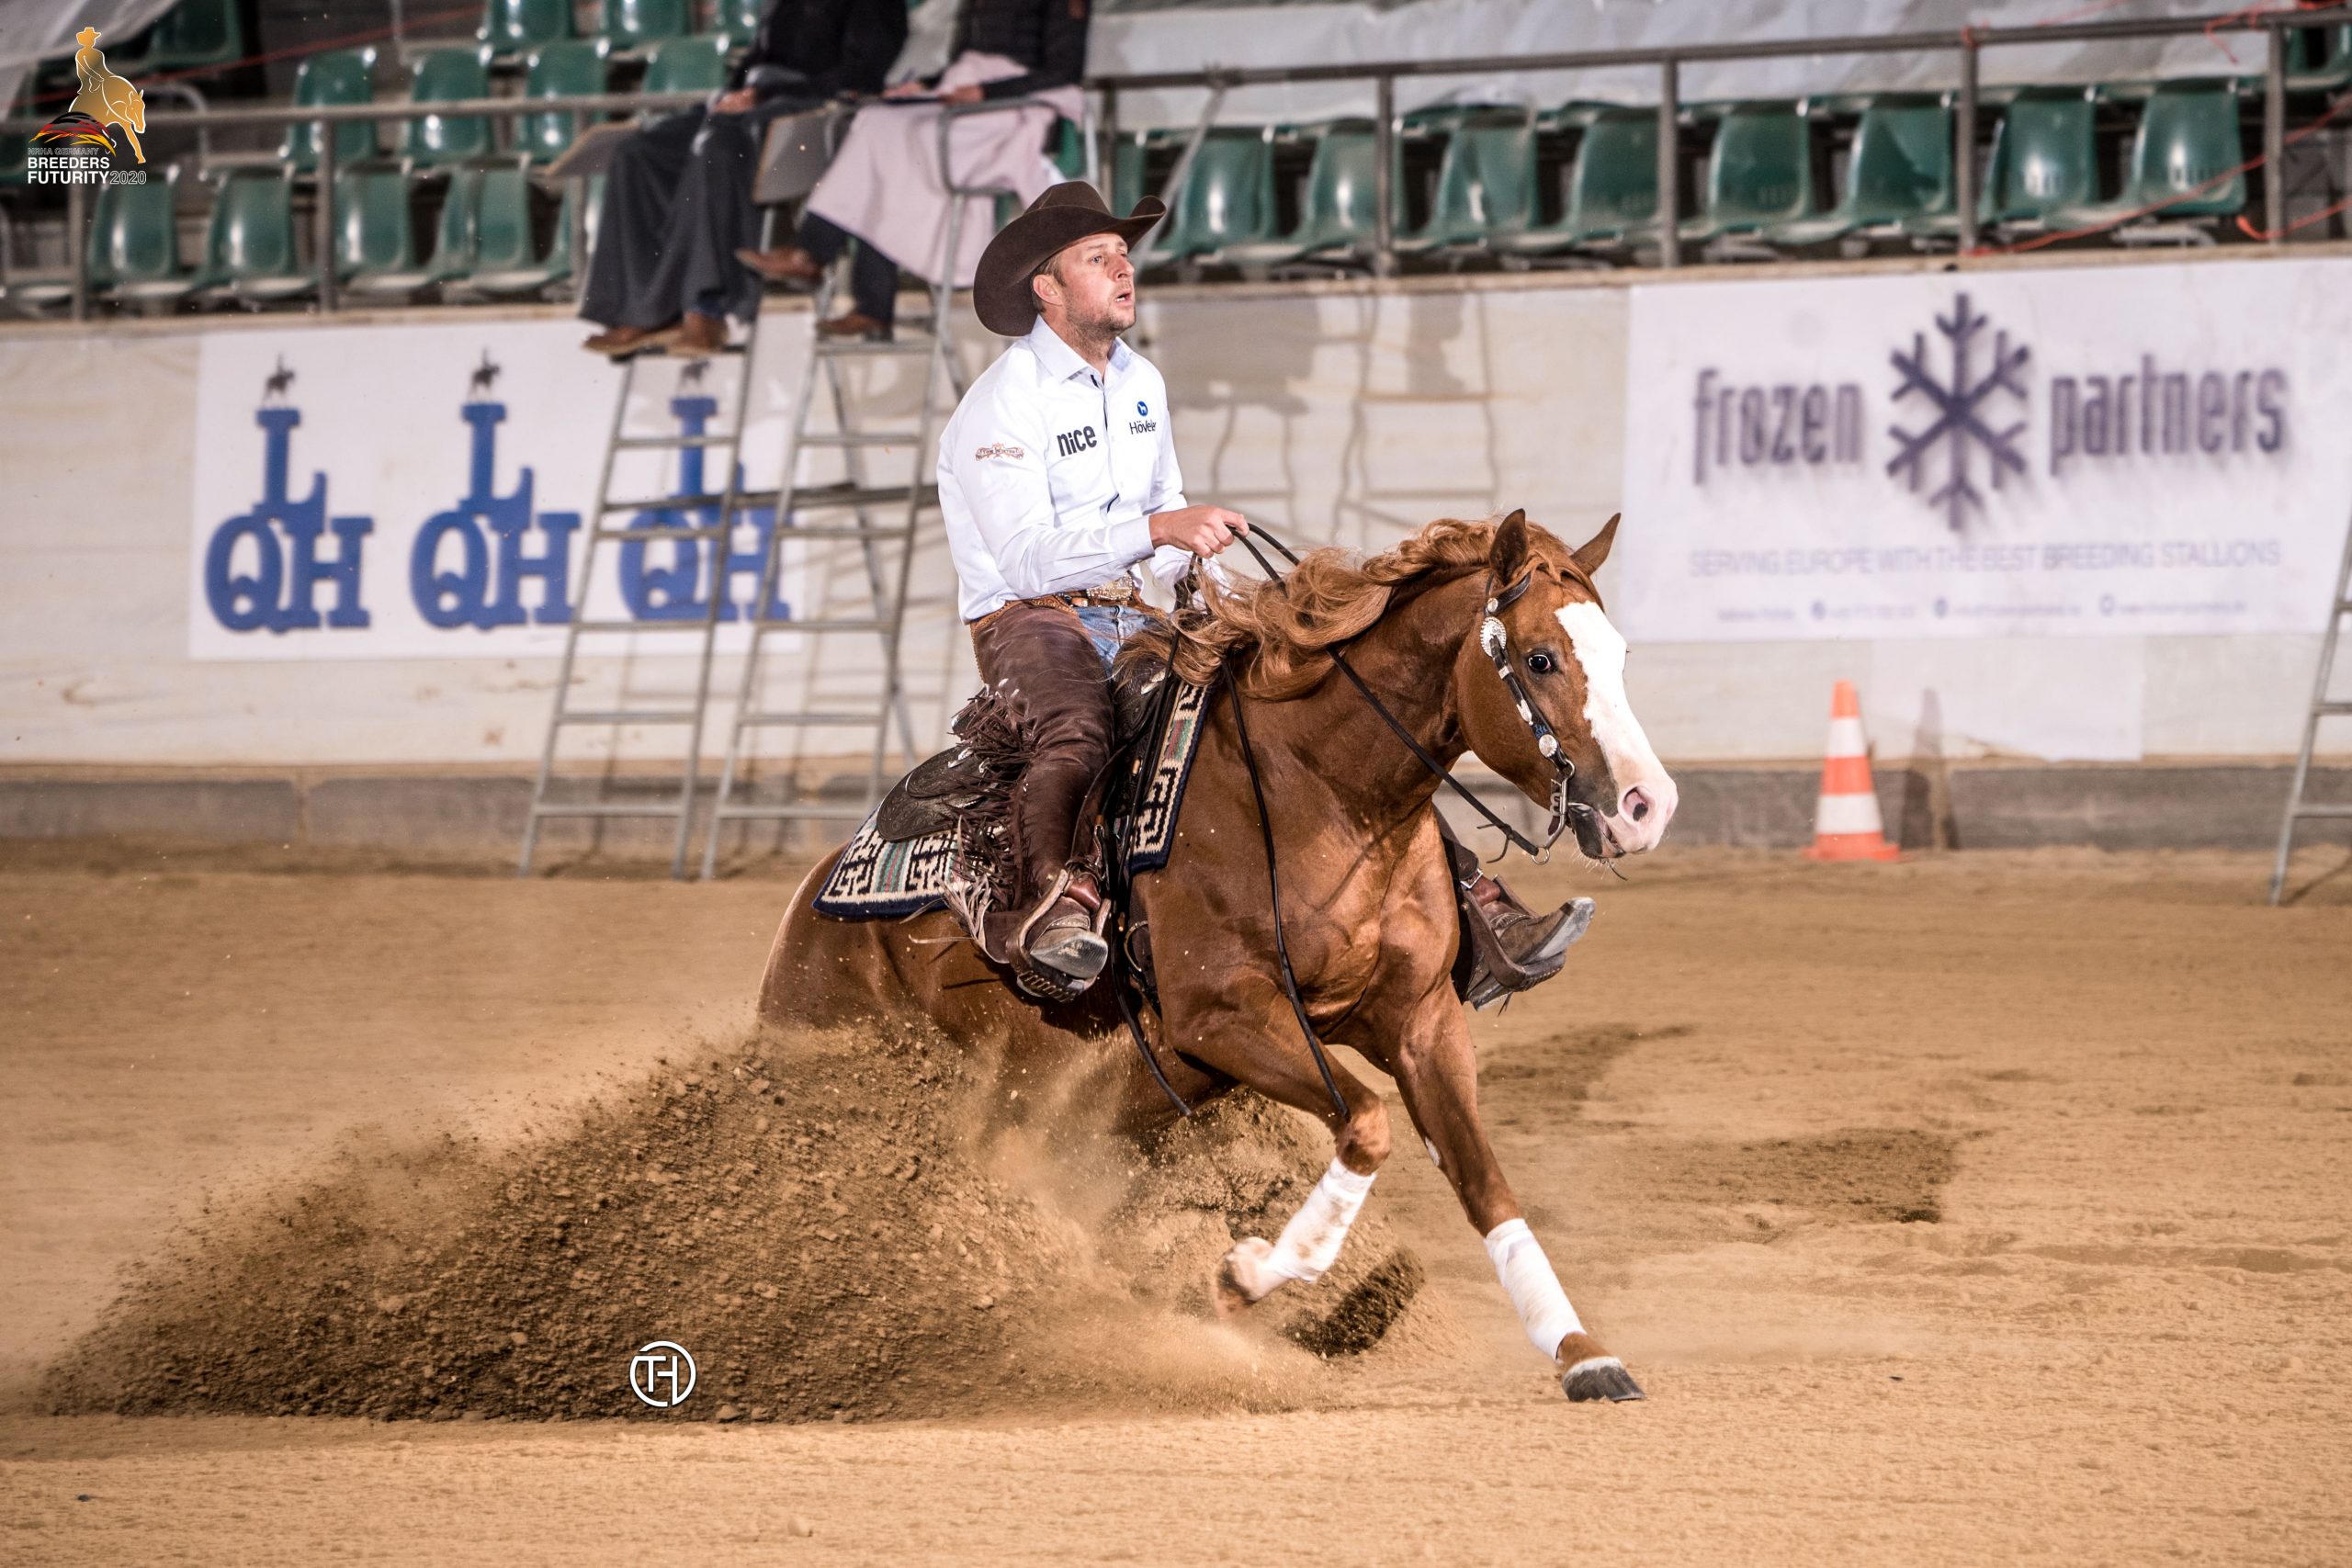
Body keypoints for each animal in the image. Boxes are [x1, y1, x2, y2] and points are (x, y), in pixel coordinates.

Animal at [757, 509, 1679, 1401]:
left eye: (1620, 654)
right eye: (1540, 657)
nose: (1648, 805)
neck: (1317, 789)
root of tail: (810, 904)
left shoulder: (1419, 1023)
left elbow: (1483, 1180)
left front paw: (1582, 1353)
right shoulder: (1222, 1019)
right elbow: (1368, 1126)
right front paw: (1245, 1274)